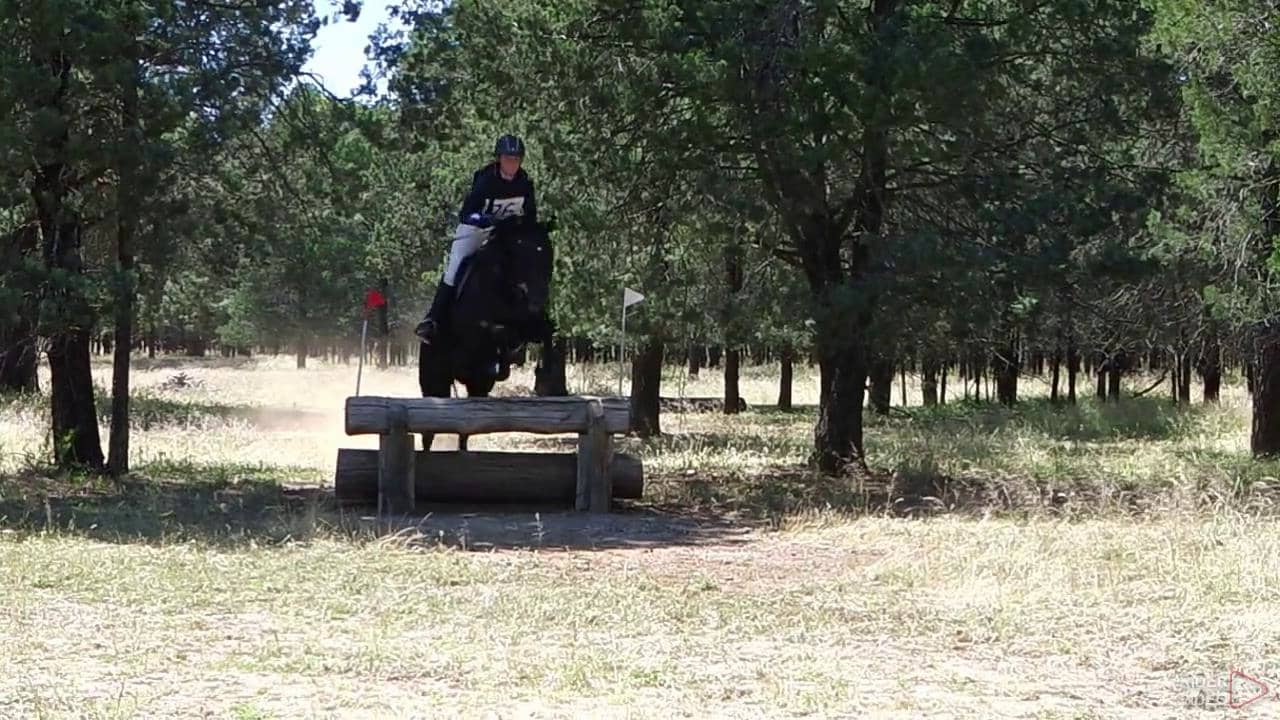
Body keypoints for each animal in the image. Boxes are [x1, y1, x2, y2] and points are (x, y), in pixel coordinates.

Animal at [416, 216, 567, 451]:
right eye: (517, 252)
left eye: (547, 251)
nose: (537, 300)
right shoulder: (477, 330)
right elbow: (502, 332)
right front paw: (512, 356)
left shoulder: (532, 325)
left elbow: (547, 332)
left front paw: (544, 377)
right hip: (435, 384)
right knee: (428, 433)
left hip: (478, 387)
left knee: (465, 430)